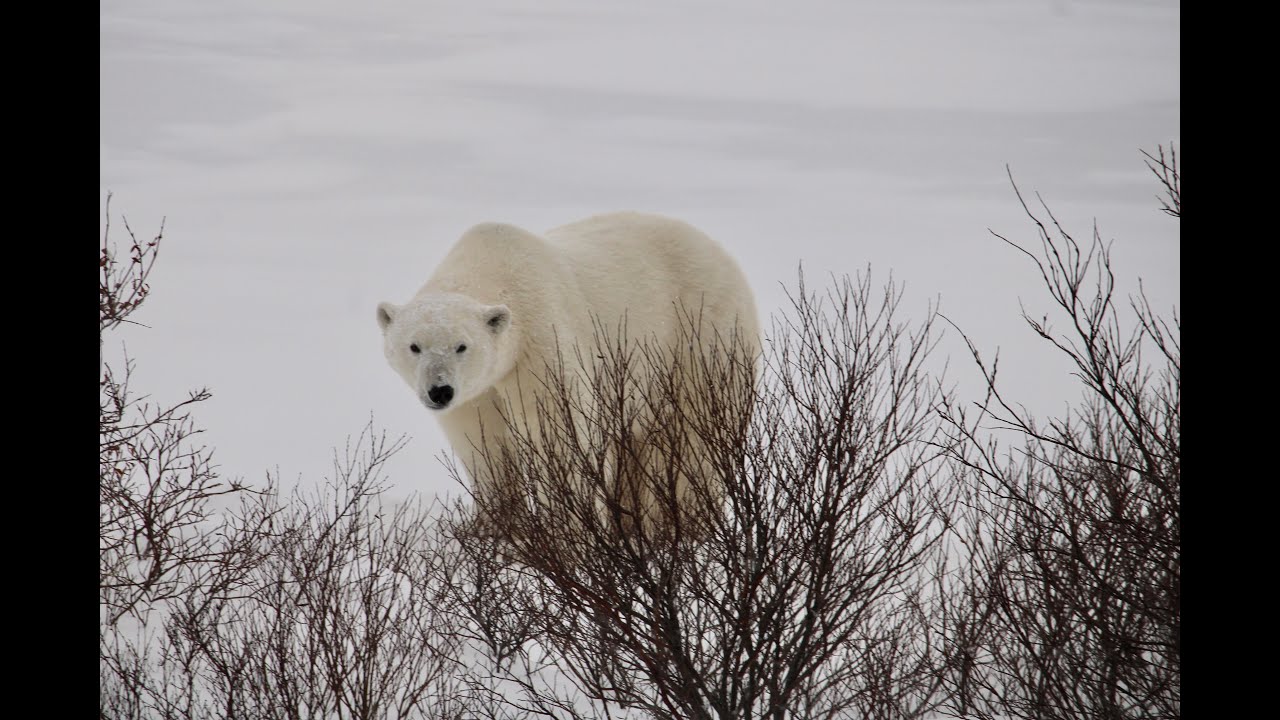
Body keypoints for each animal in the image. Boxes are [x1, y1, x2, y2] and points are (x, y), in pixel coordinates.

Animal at [376, 211, 759, 541]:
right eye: (414, 346)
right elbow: (482, 442)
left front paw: (571, 531)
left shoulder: (540, 338)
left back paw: (680, 523)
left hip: (698, 333)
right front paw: (492, 530)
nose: (439, 391)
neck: (493, 265)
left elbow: (559, 432)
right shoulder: (478, 392)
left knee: (694, 430)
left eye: (461, 346)